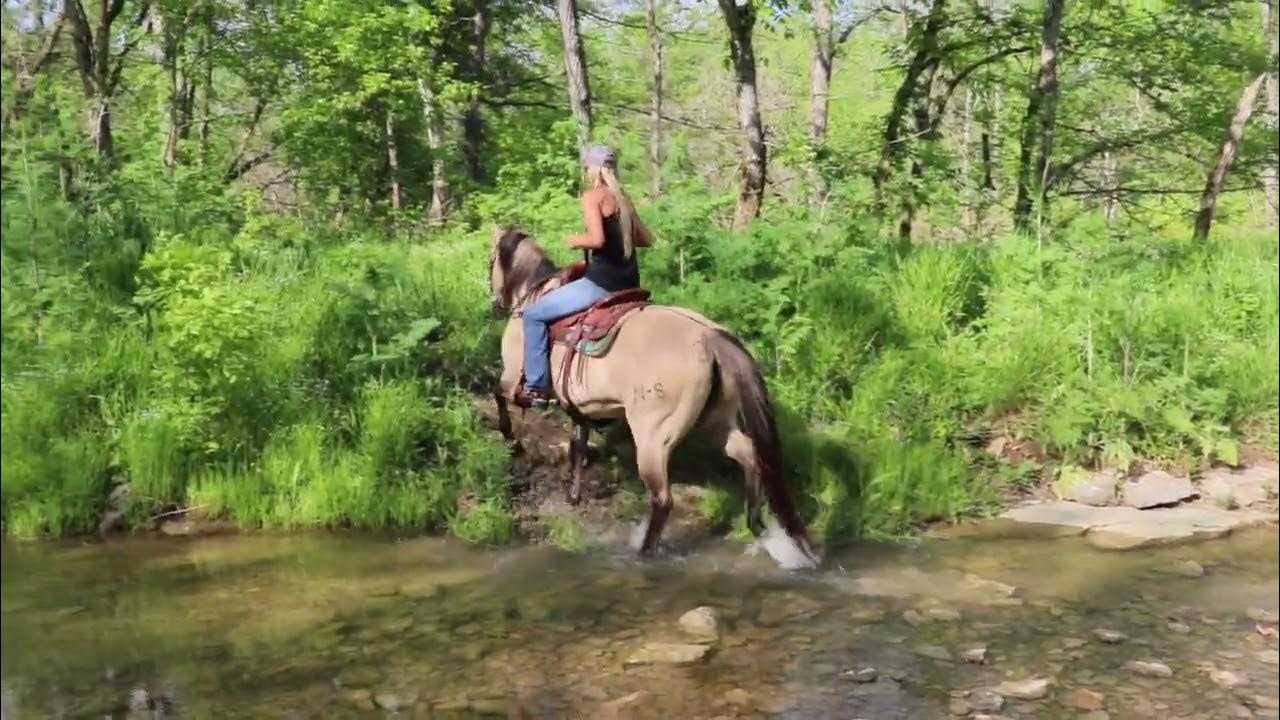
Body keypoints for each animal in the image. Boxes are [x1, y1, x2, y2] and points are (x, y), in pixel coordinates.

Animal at [487, 227, 819, 567]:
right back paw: (758, 526)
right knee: (749, 455)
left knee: (662, 499)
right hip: (715, 422)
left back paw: (645, 552)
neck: (533, 295)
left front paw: (512, 441)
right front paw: (573, 493)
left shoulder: (512, 380)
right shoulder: (581, 408)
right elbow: (578, 445)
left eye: (491, 260)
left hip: (653, 439)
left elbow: (499, 395)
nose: (496, 303)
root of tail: (708, 337)